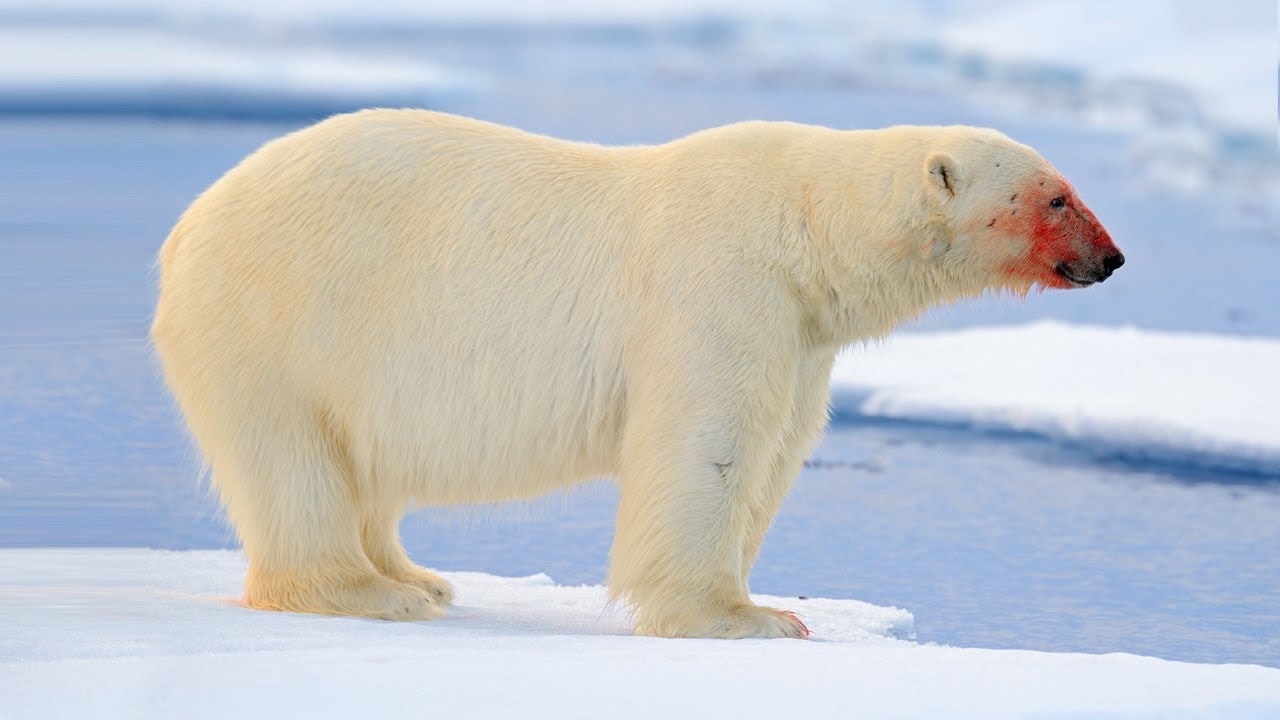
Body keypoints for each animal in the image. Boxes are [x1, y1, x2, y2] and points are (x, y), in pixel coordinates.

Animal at [151, 110, 1122, 639]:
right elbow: (710, 443)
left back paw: (419, 575)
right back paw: (368, 592)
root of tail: (187, 228)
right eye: (1055, 195)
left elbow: (778, 449)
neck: (807, 227)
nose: (1110, 259)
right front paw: (751, 616)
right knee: (294, 462)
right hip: (283, 320)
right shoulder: (722, 283)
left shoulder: (803, 333)